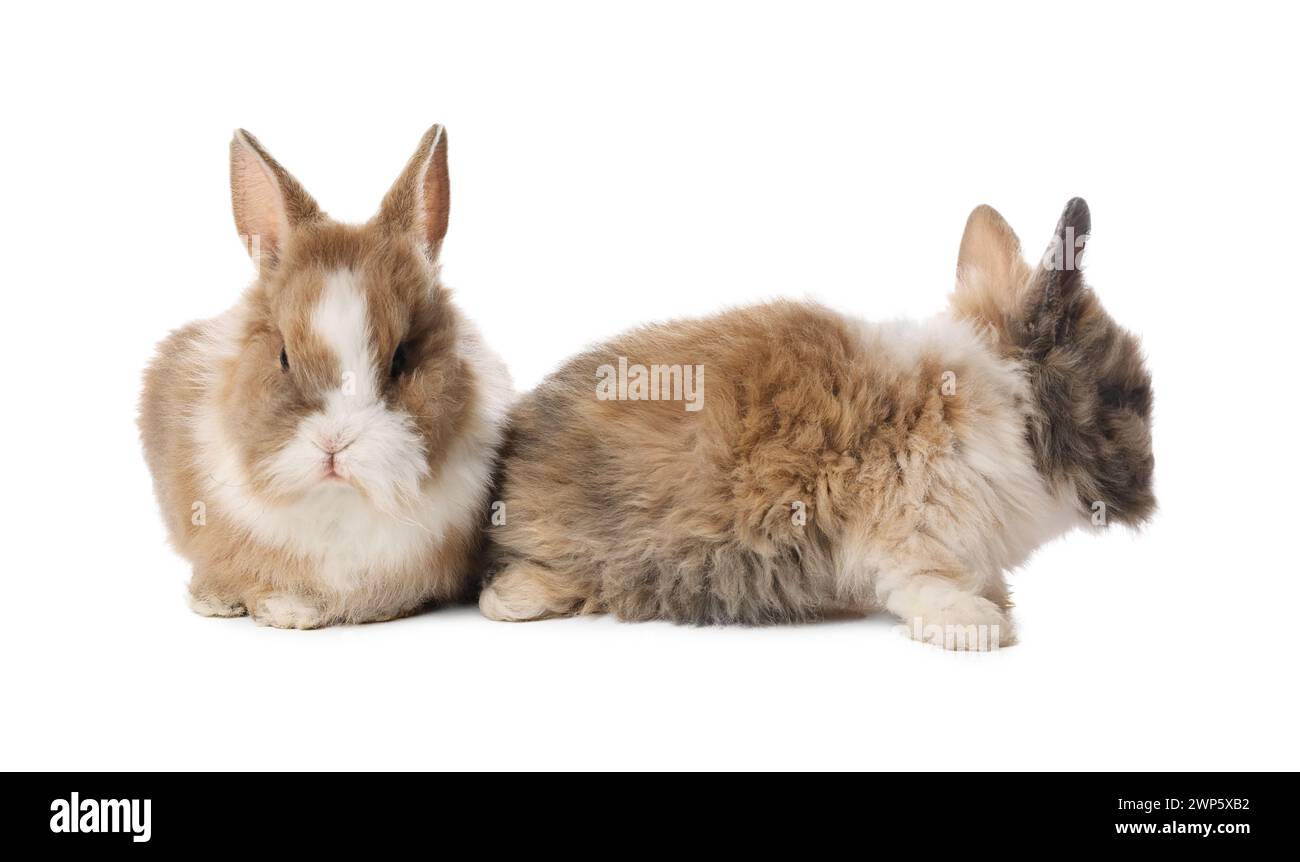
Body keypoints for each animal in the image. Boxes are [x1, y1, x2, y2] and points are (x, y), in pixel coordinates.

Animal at [480, 199, 1154, 649]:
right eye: (1123, 398)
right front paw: (980, 626)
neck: (1002, 405)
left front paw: (998, 606)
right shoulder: (908, 531)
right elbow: (921, 581)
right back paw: (517, 600)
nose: (1149, 480)